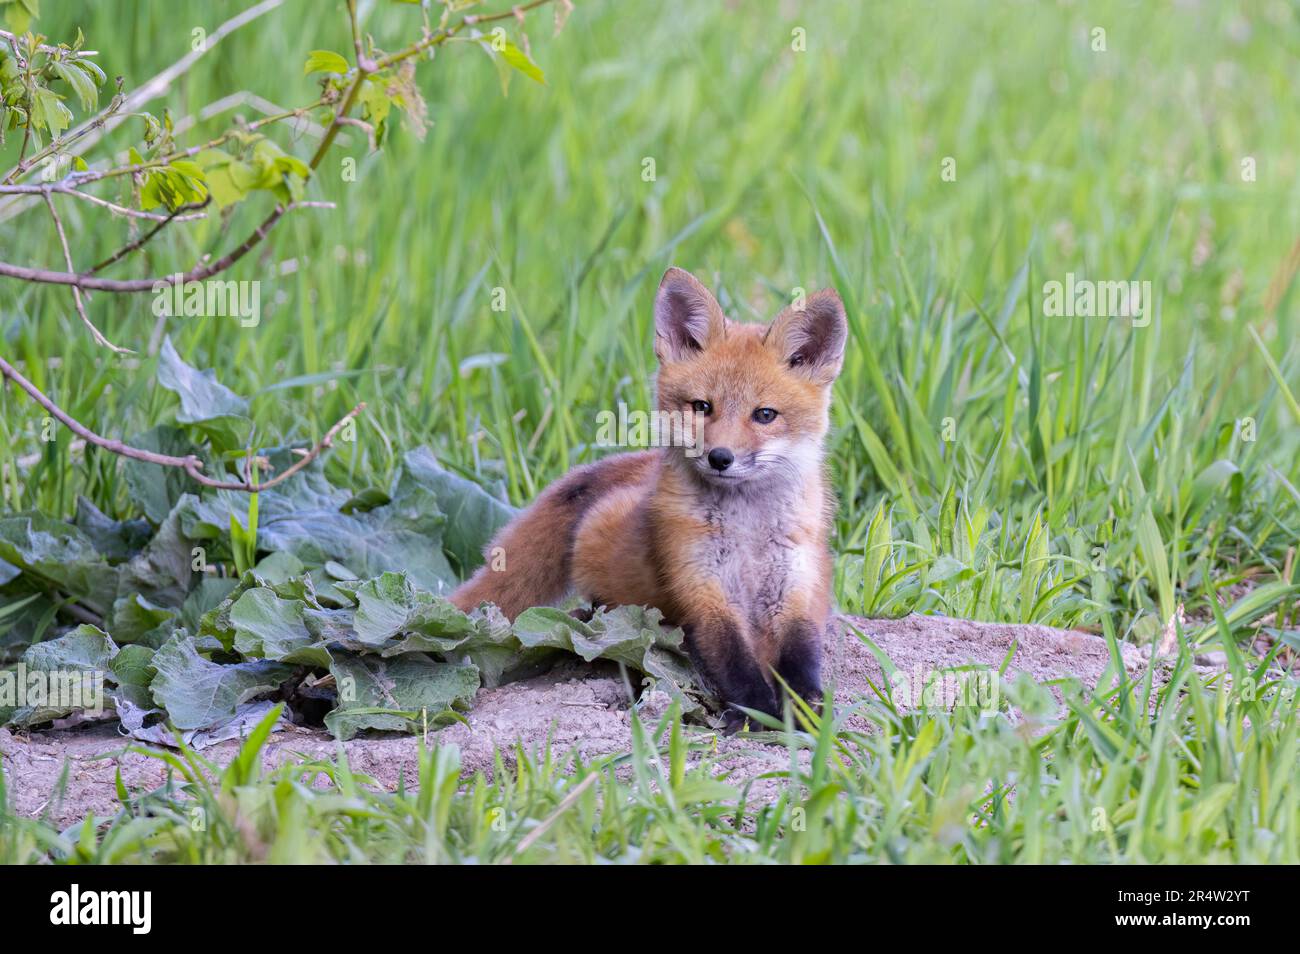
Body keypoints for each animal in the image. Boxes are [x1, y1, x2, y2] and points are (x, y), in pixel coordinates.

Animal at [451, 267, 847, 732]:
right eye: (702, 407)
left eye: (764, 414)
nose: (720, 457)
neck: (748, 529)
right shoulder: (700, 589)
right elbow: (733, 662)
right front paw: (757, 713)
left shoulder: (797, 586)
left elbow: (801, 657)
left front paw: (806, 709)